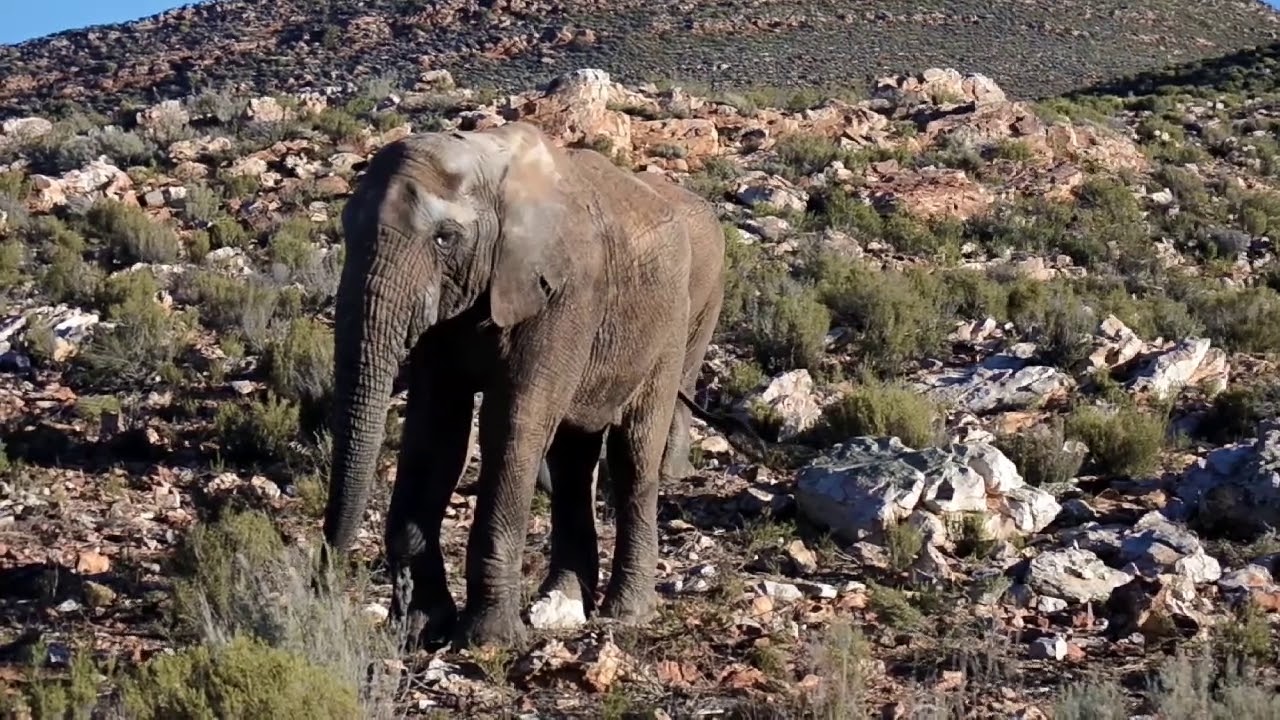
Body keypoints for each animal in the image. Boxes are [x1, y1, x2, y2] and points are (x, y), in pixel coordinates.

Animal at [321, 120, 752, 650]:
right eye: (345, 228)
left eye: (445, 239)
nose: (325, 581)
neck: (485, 162)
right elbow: (438, 432)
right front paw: (424, 628)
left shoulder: (564, 293)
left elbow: (513, 425)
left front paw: (487, 640)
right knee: (572, 460)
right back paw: (562, 602)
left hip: (669, 327)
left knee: (632, 455)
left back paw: (626, 613)